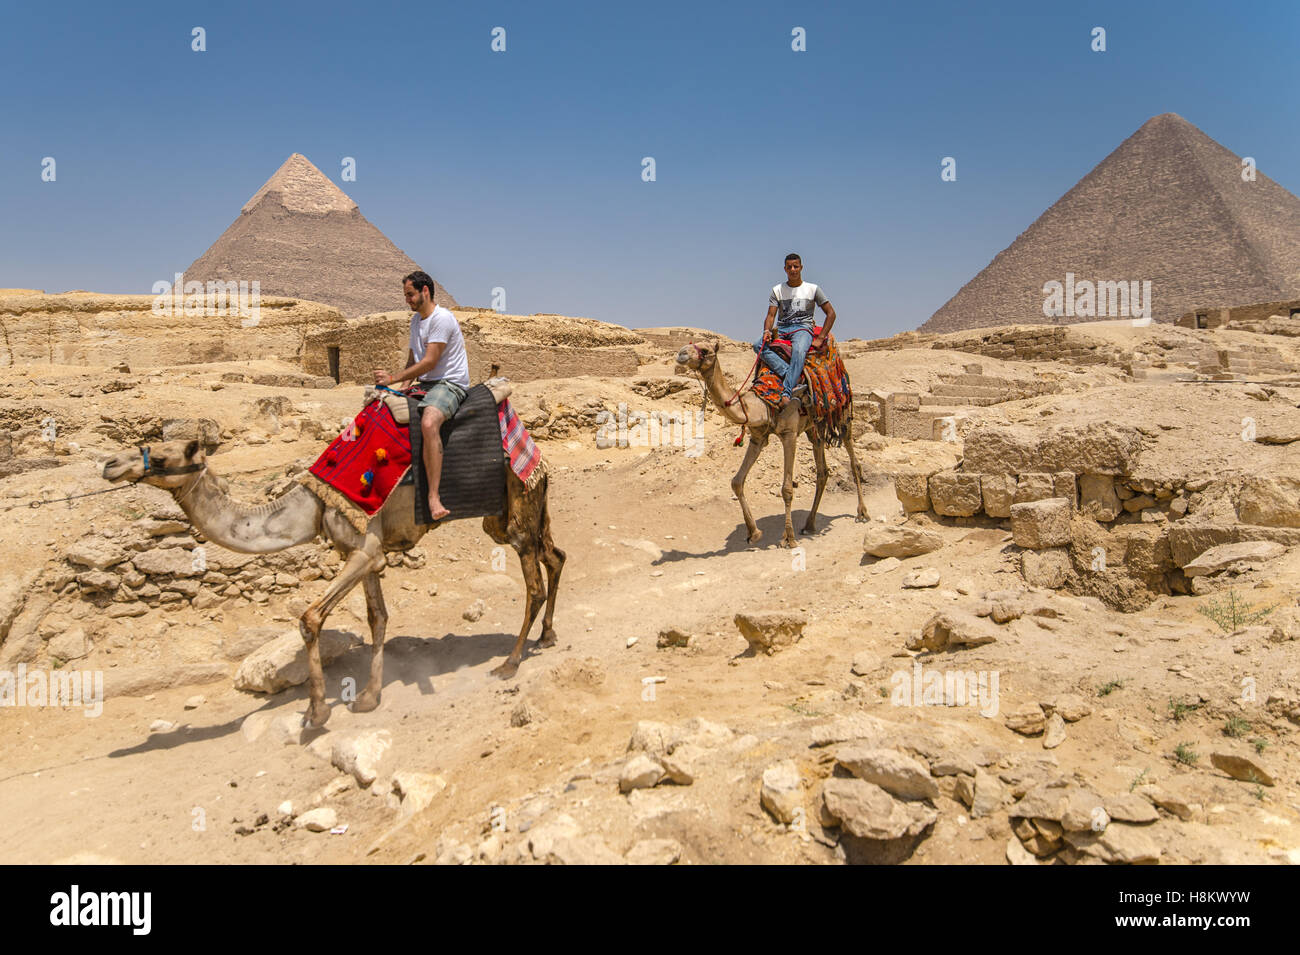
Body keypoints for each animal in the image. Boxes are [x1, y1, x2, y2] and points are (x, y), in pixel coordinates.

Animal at [101, 428, 564, 728]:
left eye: (163, 457)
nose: (110, 463)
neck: (311, 507)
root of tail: (536, 456)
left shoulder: (364, 548)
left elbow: (310, 619)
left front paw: (316, 712)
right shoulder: (363, 552)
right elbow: (378, 618)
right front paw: (369, 698)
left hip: (515, 508)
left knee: (534, 583)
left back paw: (509, 663)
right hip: (512, 513)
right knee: (555, 556)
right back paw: (546, 637)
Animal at [677, 339, 869, 546]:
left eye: (705, 350)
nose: (681, 354)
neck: (763, 403)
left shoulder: (789, 434)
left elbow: (786, 488)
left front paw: (788, 538)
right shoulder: (758, 437)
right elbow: (737, 481)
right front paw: (754, 533)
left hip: (842, 412)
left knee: (853, 459)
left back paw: (862, 513)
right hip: (813, 427)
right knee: (822, 471)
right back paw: (809, 525)